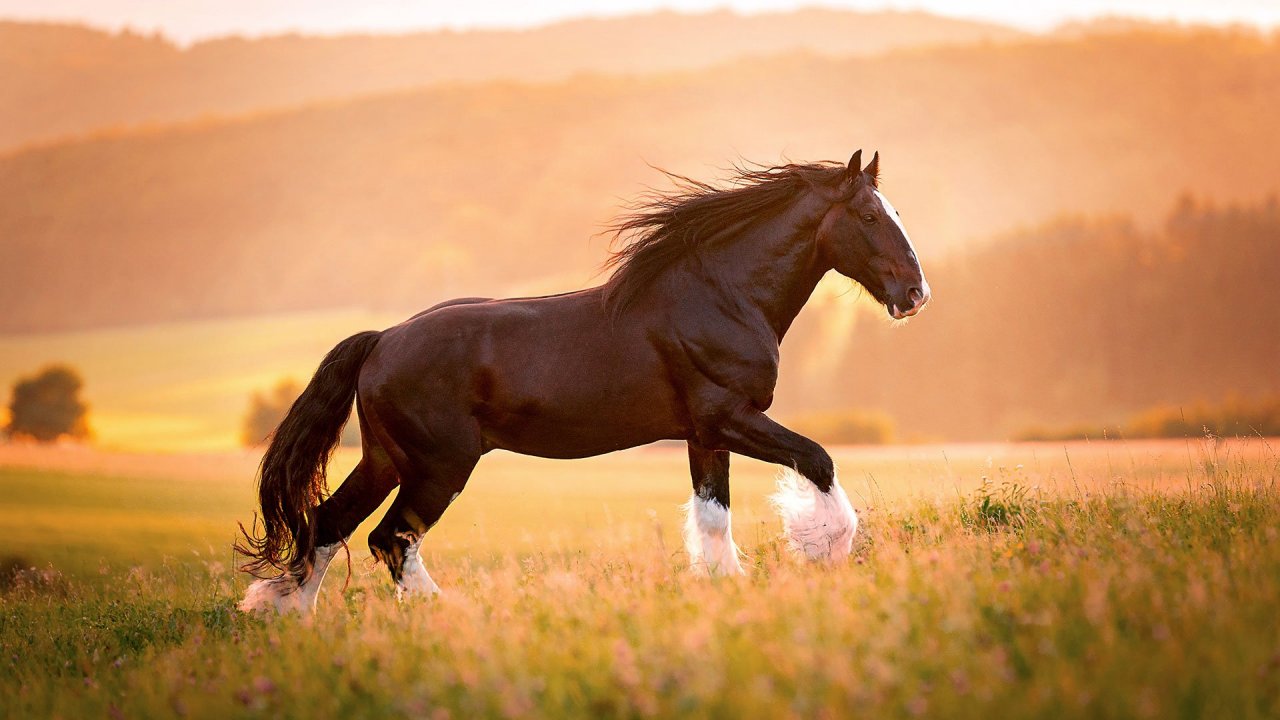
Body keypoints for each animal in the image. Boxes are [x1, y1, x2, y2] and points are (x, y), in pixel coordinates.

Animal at [237, 150, 930, 613]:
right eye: (870, 215)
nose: (916, 294)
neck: (723, 297)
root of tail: (381, 341)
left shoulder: (705, 435)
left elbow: (713, 518)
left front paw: (725, 591)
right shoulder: (730, 417)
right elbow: (818, 459)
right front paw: (825, 552)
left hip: (385, 458)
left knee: (328, 525)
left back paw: (292, 617)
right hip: (438, 467)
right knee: (390, 539)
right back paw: (445, 614)